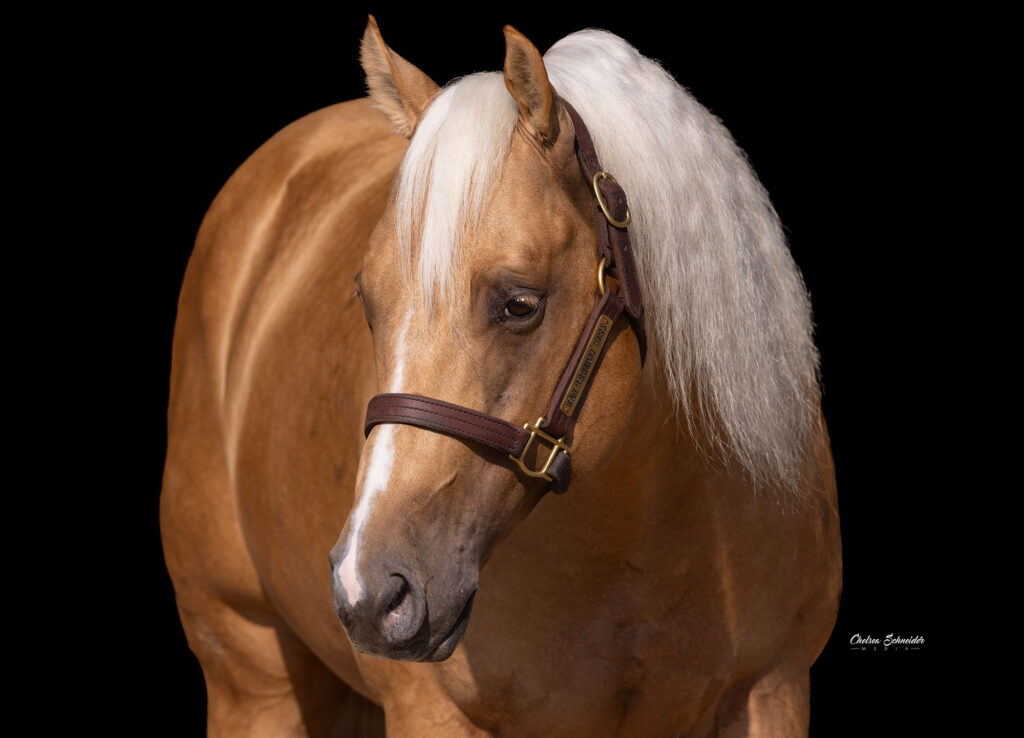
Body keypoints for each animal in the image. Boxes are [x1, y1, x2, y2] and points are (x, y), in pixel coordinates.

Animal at [161, 17, 841, 737]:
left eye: (519, 304)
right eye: (367, 300)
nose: (368, 592)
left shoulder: (772, 689)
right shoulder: (430, 712)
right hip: (251, 678)